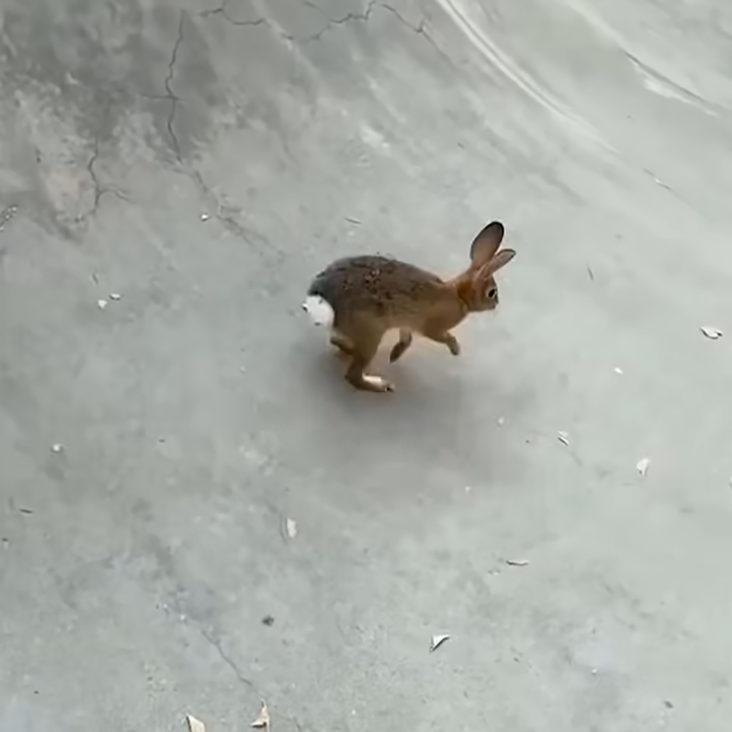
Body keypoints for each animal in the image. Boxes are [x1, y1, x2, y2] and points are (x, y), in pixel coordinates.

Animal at [302, 220, 515, 393]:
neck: (459, 295)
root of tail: (324, 304)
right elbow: (445, 337)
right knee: (352, 376)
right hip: (371, 333)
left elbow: (406, 338)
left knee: (336, 342)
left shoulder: (406, 322)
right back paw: (381, 386)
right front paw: (456, 350)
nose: (496, 304)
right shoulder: (432, 328)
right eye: (492, 293)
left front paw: (394, 355)